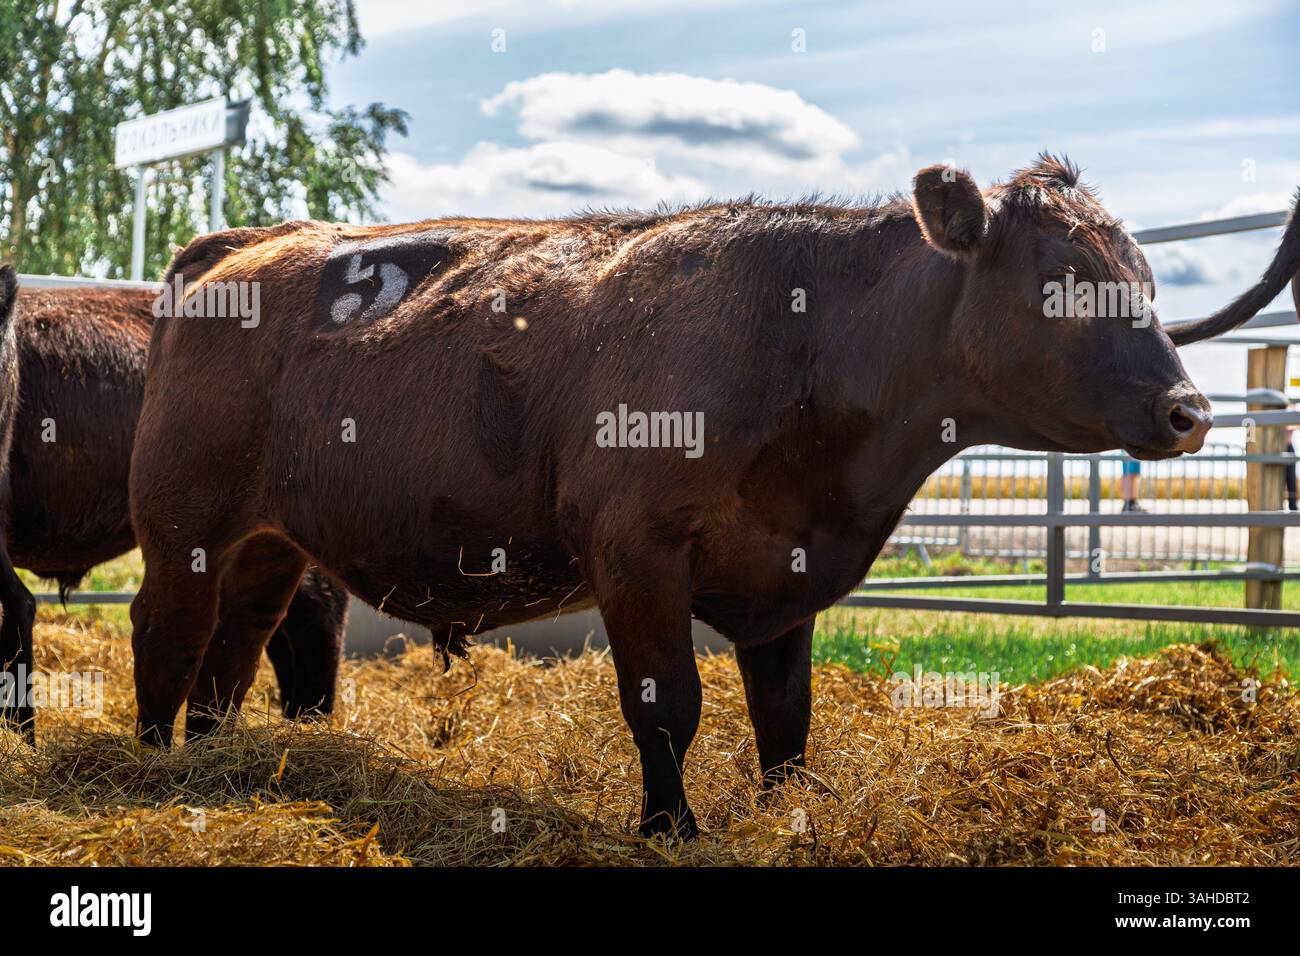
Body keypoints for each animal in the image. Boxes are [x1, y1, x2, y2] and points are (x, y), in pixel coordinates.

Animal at [127, 155, 1300, 837]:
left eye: (1147, 277)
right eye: (1060, 281)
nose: (1191, 411)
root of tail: (244, 243)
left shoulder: (788, 574)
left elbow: (785, 718)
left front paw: (785, 818)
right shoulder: (636, 555)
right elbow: (668, 704)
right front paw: (670, 829)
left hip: (270, 538)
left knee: (237, 641)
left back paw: (216, 753)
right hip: (182, 522)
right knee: (167, 628)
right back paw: (147, 760)